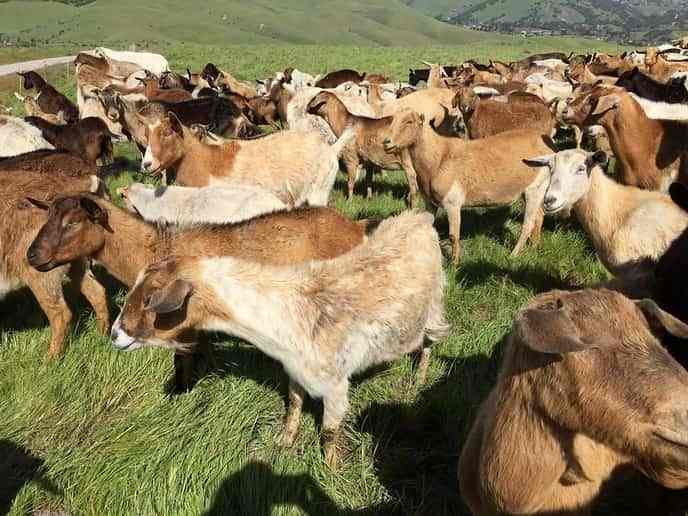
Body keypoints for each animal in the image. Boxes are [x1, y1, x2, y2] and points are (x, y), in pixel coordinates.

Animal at [109, 211, 448, 468]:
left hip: (433, 309)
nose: (115, 334)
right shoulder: (296, 369)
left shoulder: (336, 386)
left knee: (429, 344)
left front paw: (331, 470)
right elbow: (294, 404)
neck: (287, 309)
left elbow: (329, 431)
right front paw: (285, 442)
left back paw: (419, 379)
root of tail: (419, 217)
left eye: (150, 300)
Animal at [383, 109, 552, 264]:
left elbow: (453, 236)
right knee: (539, 216)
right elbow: (429, 226)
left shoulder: (452, 202)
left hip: (535, 188)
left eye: (409, 122)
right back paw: (534, 247)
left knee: (528, 223)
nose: (386, 142)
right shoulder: (430, 202)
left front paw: (455, 264)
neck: (438, 157)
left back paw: (514, 255)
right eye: (392, 120)